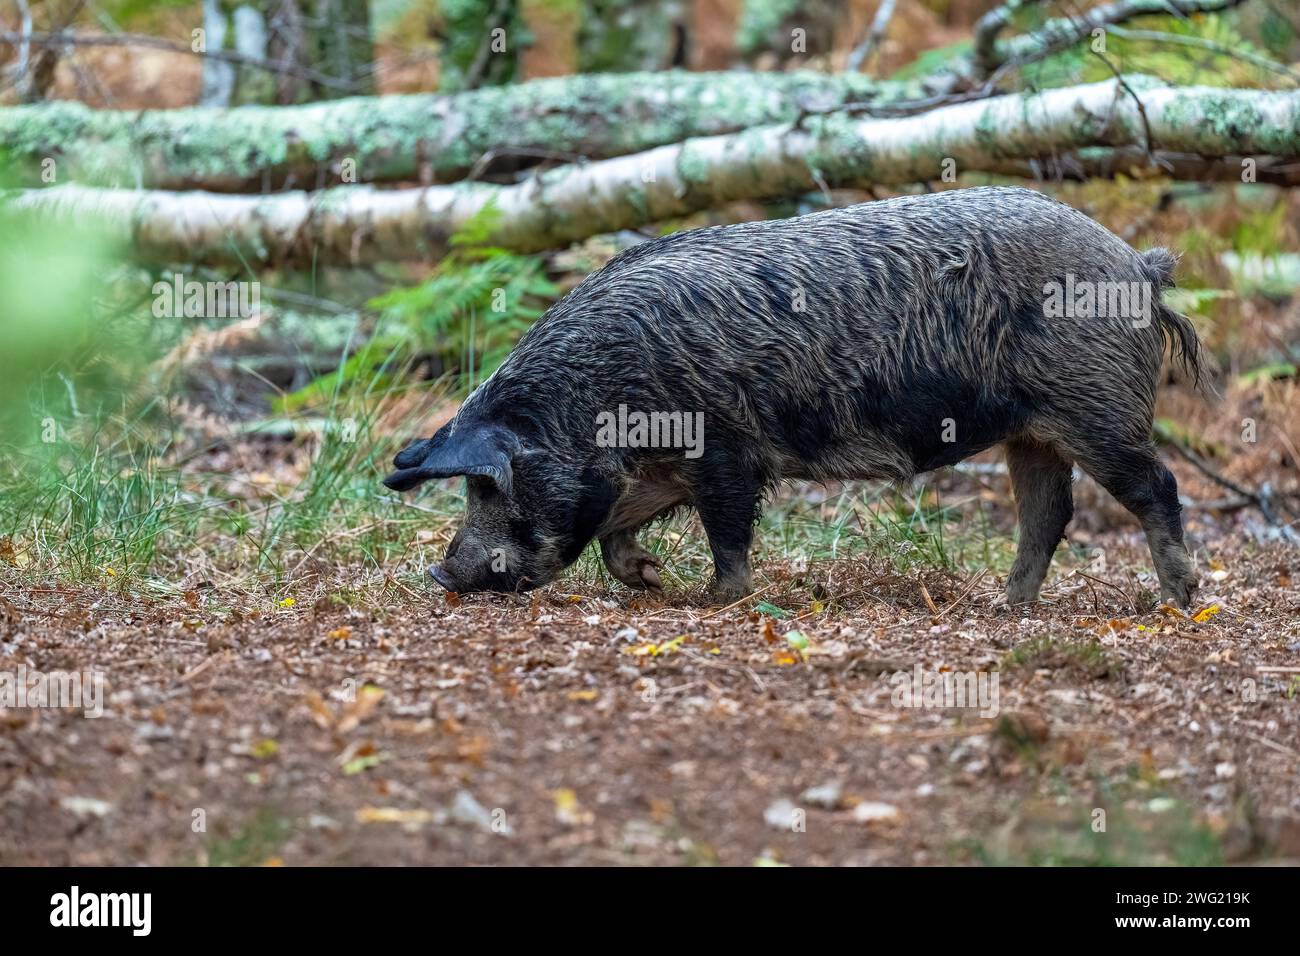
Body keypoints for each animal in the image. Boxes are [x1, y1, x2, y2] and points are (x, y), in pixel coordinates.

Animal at [384, 186, 1208, 608]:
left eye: (489, 486)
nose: (442, 573)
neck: (601, 400)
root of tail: (1138, 264)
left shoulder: (722, 446)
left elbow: (728, 532)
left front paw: (712, 598)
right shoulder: (655, 470)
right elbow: (616, 529)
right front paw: (651, 579)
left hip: (1097, 406)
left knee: (1155, 487)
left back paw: (1177, 598)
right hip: (1031, 430)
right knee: (1049, 512)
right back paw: (1008, 605)